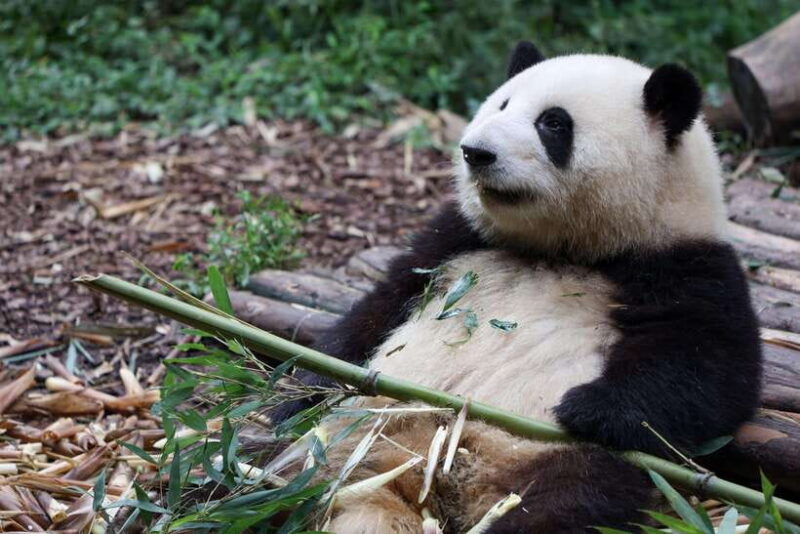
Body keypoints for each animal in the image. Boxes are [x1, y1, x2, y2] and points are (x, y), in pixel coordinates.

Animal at [275, 42, 763, 533]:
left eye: (553, 123)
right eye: (502, 105)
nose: (475, 152)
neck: (563, 248)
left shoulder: (686, 265)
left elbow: (707, 371)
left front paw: (584, 409)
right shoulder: (454, 240)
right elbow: (378, 309)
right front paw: (307, 381)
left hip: (548, 460)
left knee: (569, 502)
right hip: (333, 436)